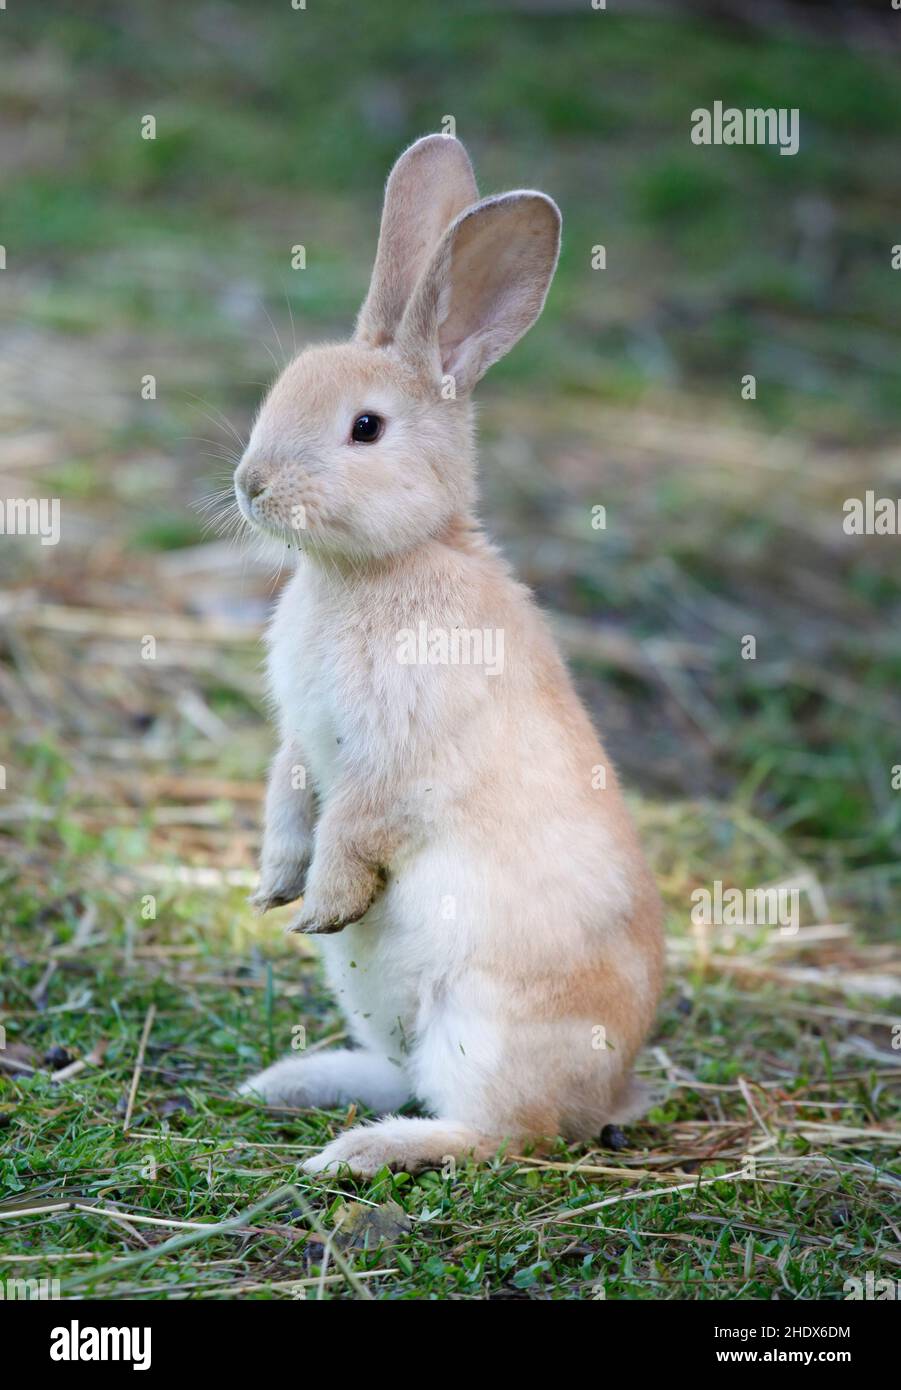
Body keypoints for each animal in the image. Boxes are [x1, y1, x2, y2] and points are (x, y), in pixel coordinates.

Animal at [233, 134, 664, 1177]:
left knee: (499, 1133)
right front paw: (273, 887)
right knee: (408, 1076)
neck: (378, 566)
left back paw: (358, 1153)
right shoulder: (300, 742)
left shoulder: (397, 756)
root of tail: (609, 1091)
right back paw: (297, 1086)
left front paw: (318, 905)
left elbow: (356, 826)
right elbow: (289, 799)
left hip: (483, 1024)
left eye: (365, 428)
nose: (251, 486)